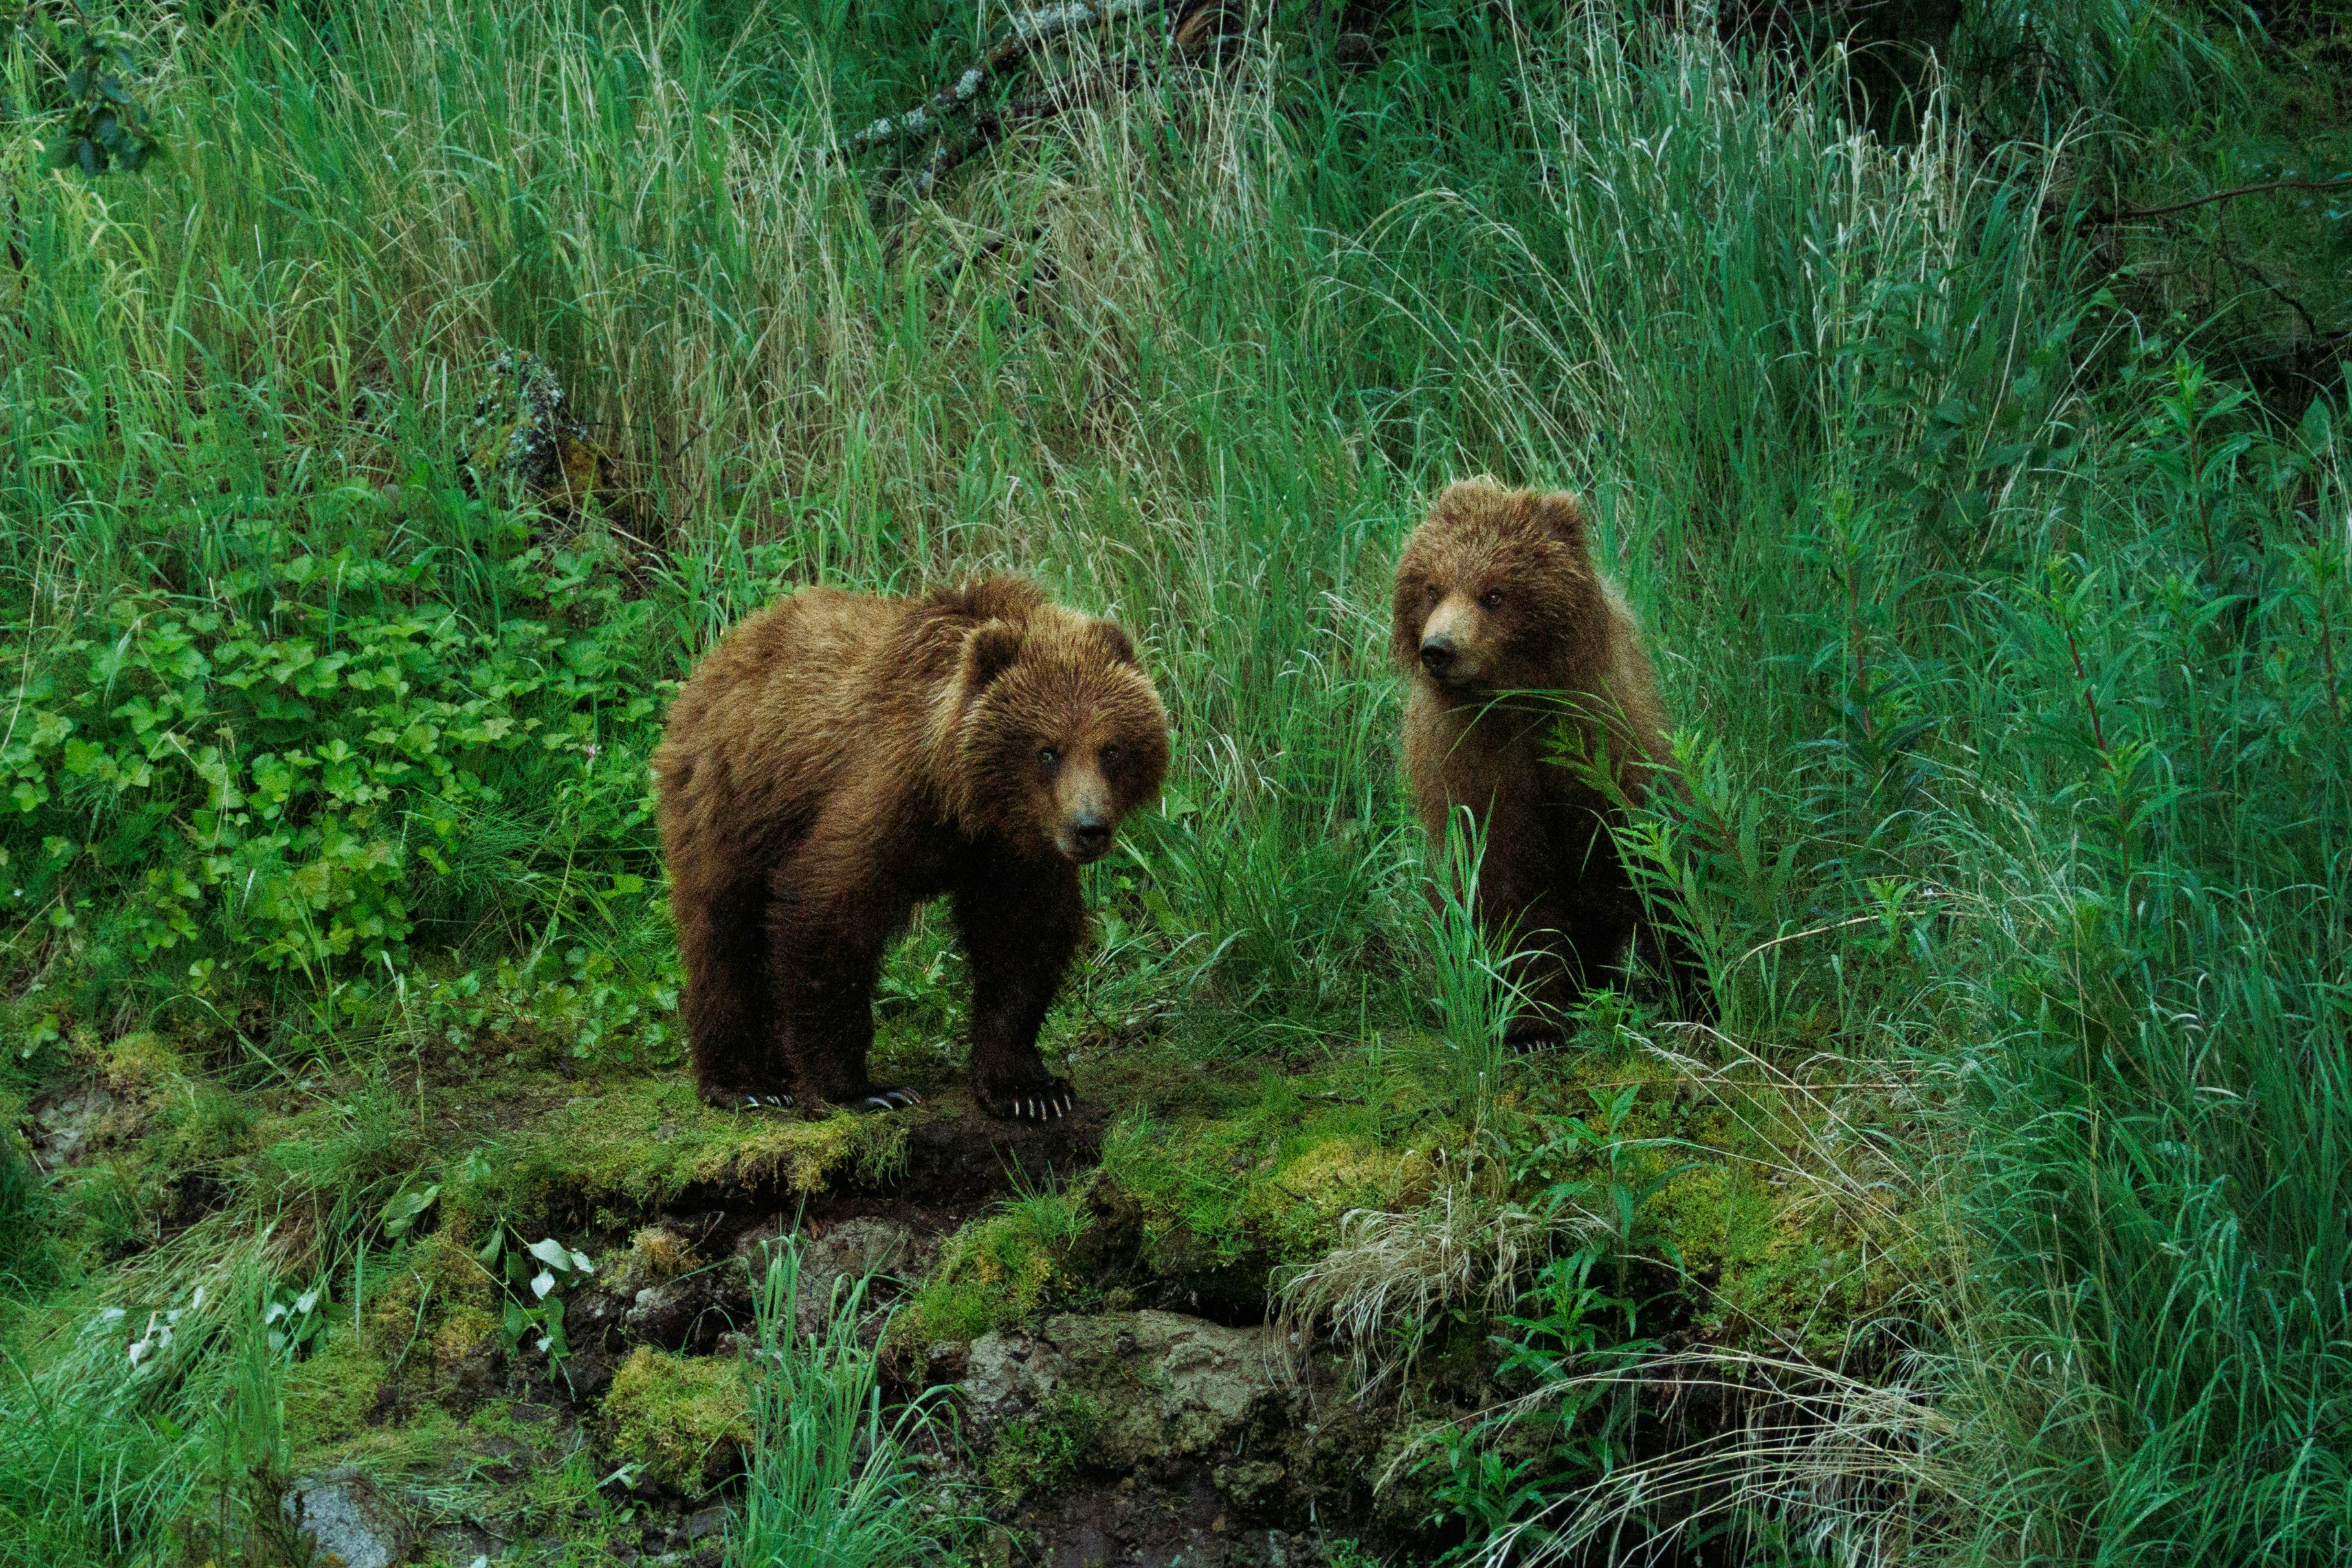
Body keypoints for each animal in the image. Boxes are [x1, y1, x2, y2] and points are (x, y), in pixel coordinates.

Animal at [652, 576, 1169, 1120]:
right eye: (1047, 751)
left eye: (1111, 748)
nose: (1089, 827)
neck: (963, 798)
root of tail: (719, 654)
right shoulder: (884, 794)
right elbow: (826, 913)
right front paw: (857, 1090)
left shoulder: (1015, 850)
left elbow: (1020, 939)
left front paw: (1030, 1089)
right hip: (731, 797)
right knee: (723, 929)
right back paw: (745, 1082)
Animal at [1389, 478, 1702, 1035]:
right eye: (1432, 587)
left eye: (1494, 592)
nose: (1438, 649)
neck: (1517, 705)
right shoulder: (1474, 765)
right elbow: (1505, 884)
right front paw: (1532, 1016)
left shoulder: (1601, 746)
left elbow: (1644, 861)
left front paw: (1694, 984)